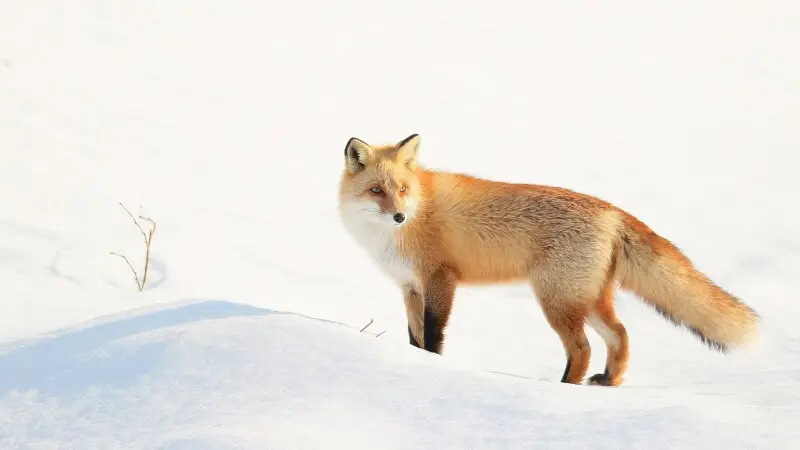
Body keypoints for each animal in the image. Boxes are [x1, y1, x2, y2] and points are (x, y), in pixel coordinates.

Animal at [337, 133, 759, 386]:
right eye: (376, 191)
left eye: (402, 190)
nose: (399, 216)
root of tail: (612, 211)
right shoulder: (410, 286)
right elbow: (414, 336)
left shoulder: (440, 279)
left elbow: (432, 334)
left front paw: (434, 366)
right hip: (586, 300)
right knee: (621, 335)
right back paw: (608, 382)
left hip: (557, 301)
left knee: (583, 348)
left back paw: (565, 388)